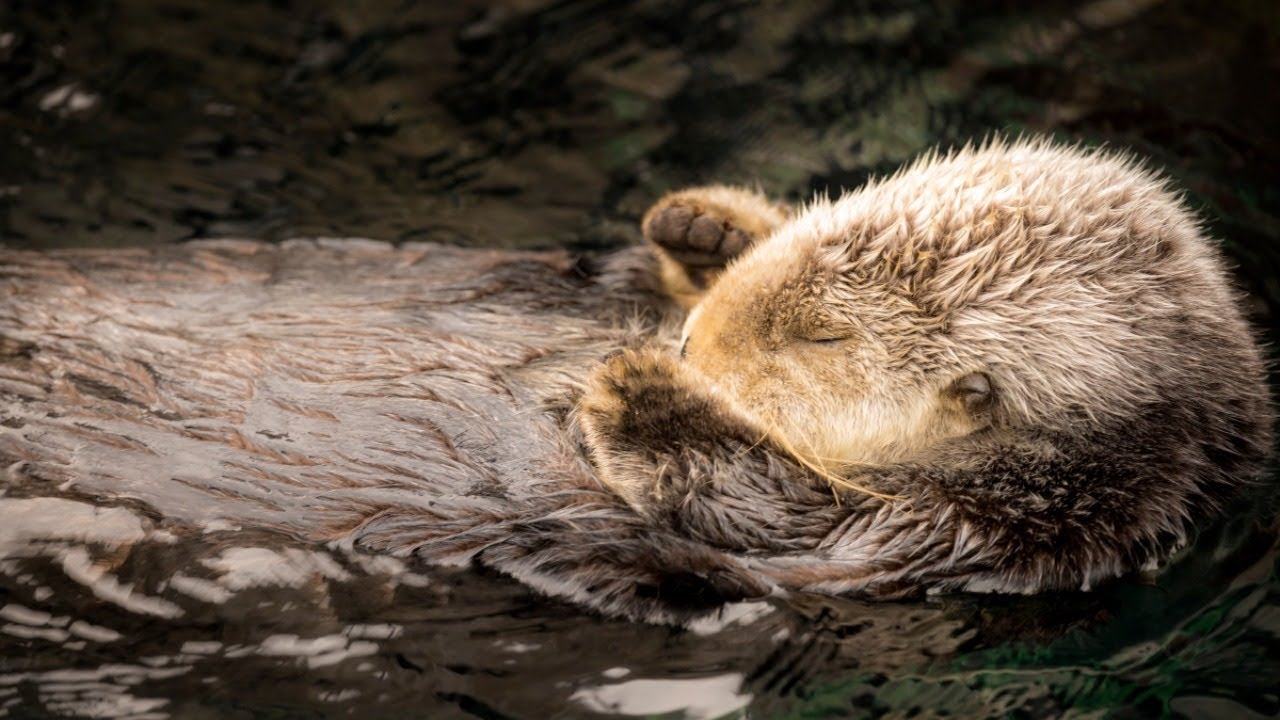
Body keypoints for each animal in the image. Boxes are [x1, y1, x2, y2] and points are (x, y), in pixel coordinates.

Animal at [0, 139, 1270, 623]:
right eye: (819, 226)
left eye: (821, 336)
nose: (690, 344)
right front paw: (700, 226)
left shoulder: (958, 537)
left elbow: (761, 516)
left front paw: (634, 392)